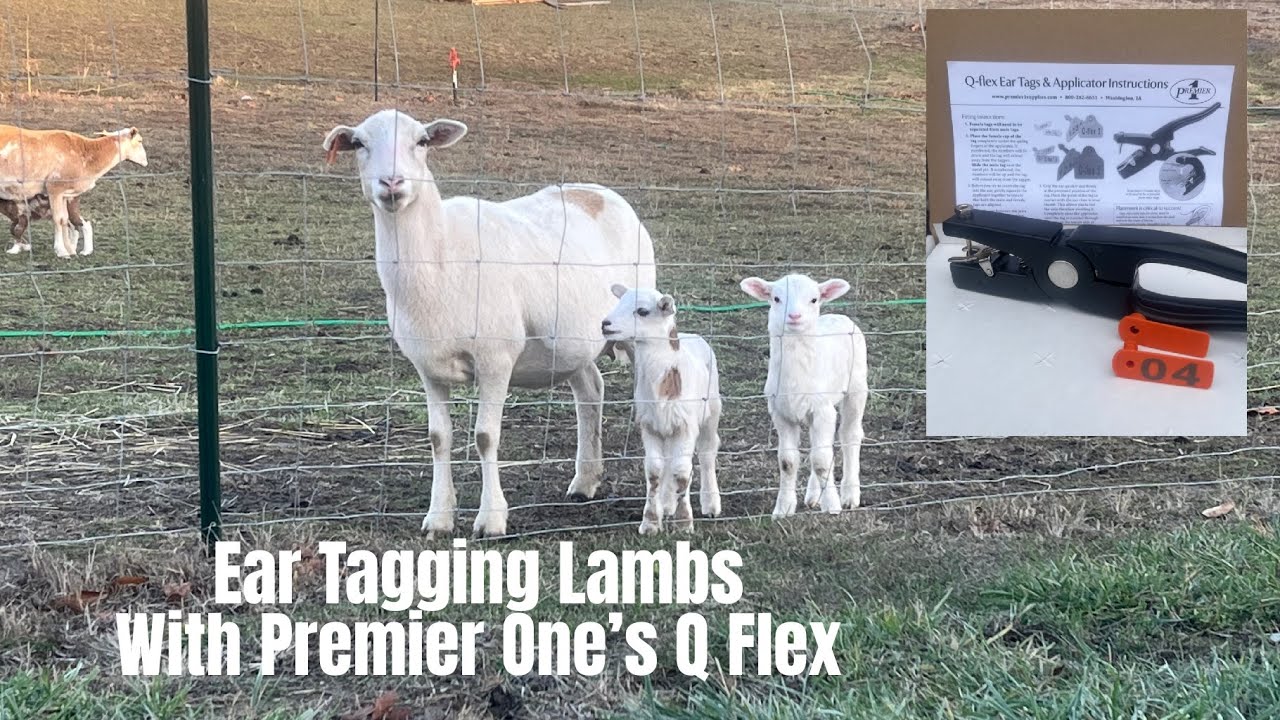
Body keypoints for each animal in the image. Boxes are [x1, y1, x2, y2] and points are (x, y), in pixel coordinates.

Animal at [0, 126, 148, 257]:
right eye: (140, 141)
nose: (146, 162)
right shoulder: (54, 188)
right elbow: (58, 220)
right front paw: (62, 251)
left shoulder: (65, 193)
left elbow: (64, 220)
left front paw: (70, 250)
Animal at [323, 109, 656, 538]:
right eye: (360, 144)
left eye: (422, 142)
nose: (392, 183)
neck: (440, 255)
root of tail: (598, 192)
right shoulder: (427, 366)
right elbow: (438, 437)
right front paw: (438, 517)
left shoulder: (496, 358)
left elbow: (485, 436)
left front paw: (491, 519)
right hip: (572, 342)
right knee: (590, 389)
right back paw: (585, 481)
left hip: (640, 327)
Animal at [602, 284, 722, 534]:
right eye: (619, 302)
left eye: (642, 311)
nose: (605, 324)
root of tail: (692, 335)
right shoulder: (649, 425)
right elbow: (654, 471)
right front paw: (650, 522)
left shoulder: (686, 426)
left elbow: (682, 472)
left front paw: (684, 523)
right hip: (667, 427)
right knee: (668, 461)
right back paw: (666, 505)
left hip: (711, 411)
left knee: (706, 453)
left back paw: (710, 504)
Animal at [739, 273, 868, 518]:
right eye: (776, 298)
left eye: (814, 299)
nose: (795, 315)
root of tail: (840, 316)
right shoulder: (781, 412)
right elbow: (788, 461)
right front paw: (783, 508)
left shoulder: (822, 410)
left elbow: (821, 461)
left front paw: (832, 505)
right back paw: (813, 496)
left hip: (856, 388)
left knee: (850, 436)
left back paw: (849, 495)